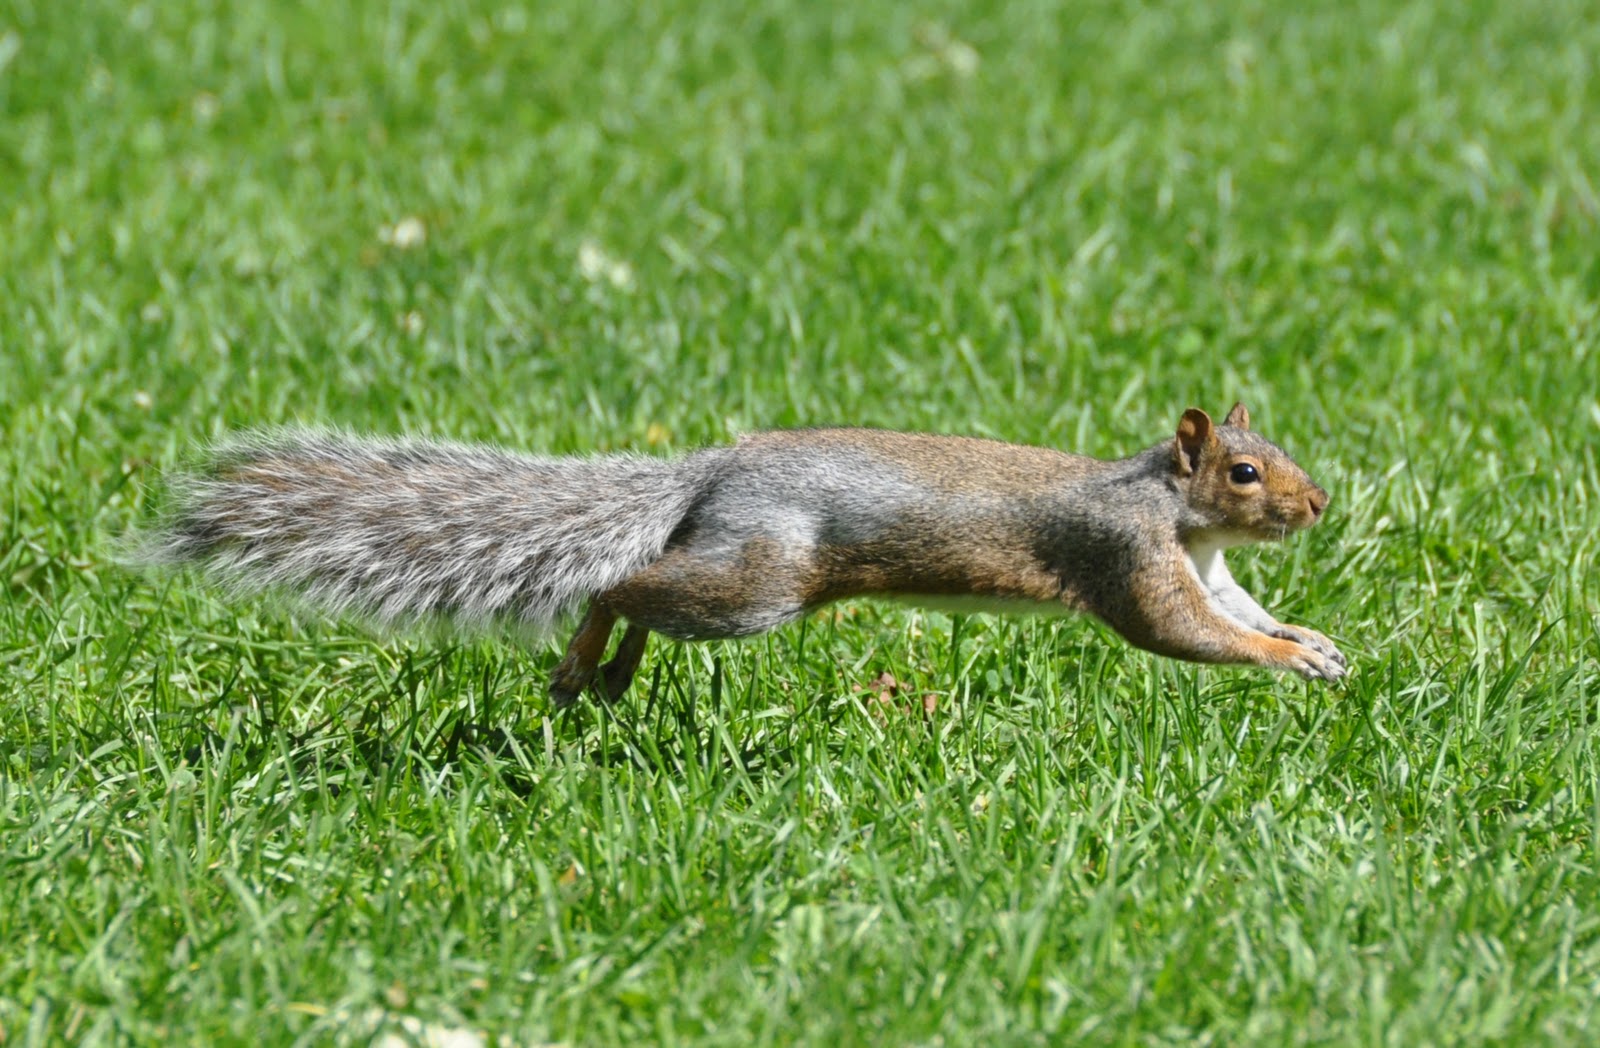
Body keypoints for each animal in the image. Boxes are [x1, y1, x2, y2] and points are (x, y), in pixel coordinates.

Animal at [139, 402, 1347, 706]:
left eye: (1278, 454)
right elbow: (1184, 634)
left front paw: (1310, 639)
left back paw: (608, 674)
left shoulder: (1215, 568)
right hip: (763, 580)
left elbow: (1240, 611)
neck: (1173, 510)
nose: (1319, 501)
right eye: (1244, 472)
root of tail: (711, 474)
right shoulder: (1124, 556)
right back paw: (584, 666)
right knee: (618, 581)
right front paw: (1286, 663)